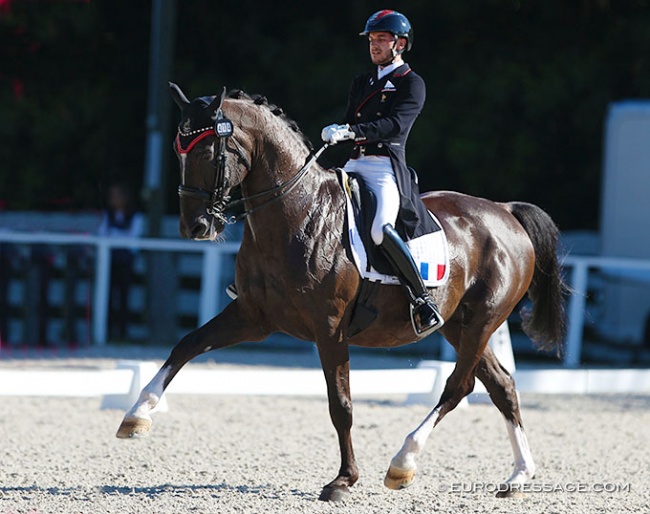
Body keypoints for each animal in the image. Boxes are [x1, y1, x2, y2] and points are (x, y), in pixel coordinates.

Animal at [116, 83, 568, 502]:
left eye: (211, 153)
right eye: (178, 152)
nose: (195, 227)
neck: (297, 215)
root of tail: (504, 211)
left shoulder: (329, 328)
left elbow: (341, 404)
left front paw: (343, 480)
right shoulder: (252, 317)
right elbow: (187, 345)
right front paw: (136, 416)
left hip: (483, 320)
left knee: (459, 387)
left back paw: (403, 463)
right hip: (457, 324)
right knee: (501, 385)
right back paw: (517, 477)